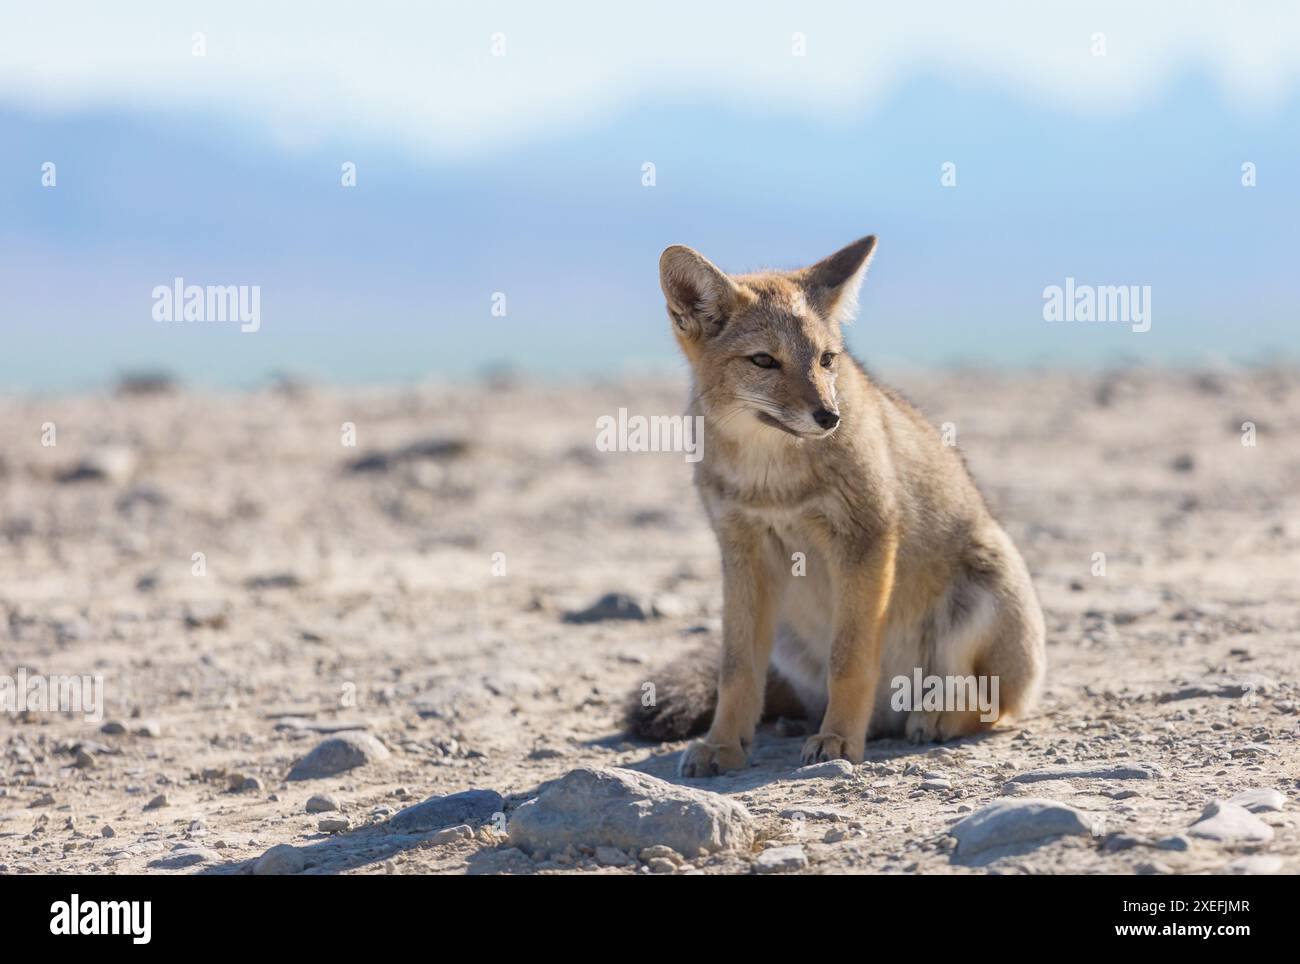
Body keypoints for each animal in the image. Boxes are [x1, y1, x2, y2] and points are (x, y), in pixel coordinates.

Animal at [627, 235, 1046, 776]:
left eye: (827, 360)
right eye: (764, 361)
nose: (829, 416)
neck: (772, 480)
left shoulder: (865, 539)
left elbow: (848, 660)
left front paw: (839, 740)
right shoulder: (741, 552)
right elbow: (736, 669)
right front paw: (723, 745)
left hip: (978, 592)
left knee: (993, 706)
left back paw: (932, 718)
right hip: (786, 635)